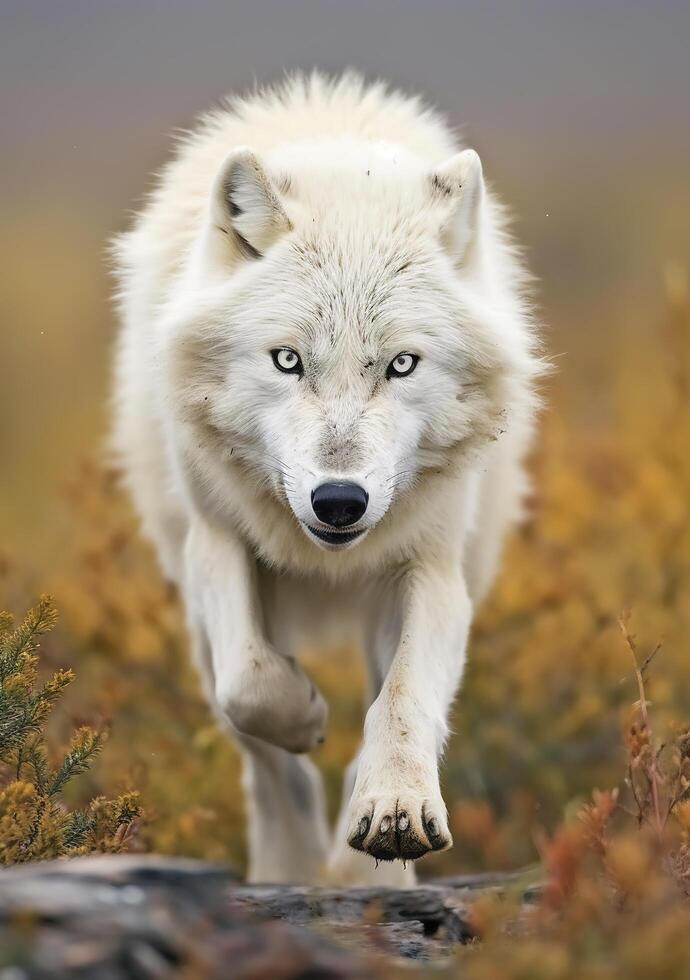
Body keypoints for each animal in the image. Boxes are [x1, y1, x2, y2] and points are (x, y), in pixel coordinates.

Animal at [112, 72, 541, 886]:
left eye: (401, 364)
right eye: (288, 360)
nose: (339, 502)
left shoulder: (432, 568)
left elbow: (402, 703)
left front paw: (396, 811)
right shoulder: (217, 541)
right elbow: (251, 685)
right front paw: (307, 716)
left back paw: (358, 866)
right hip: (194, 602)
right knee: (257, 752)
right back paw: (290, 861)